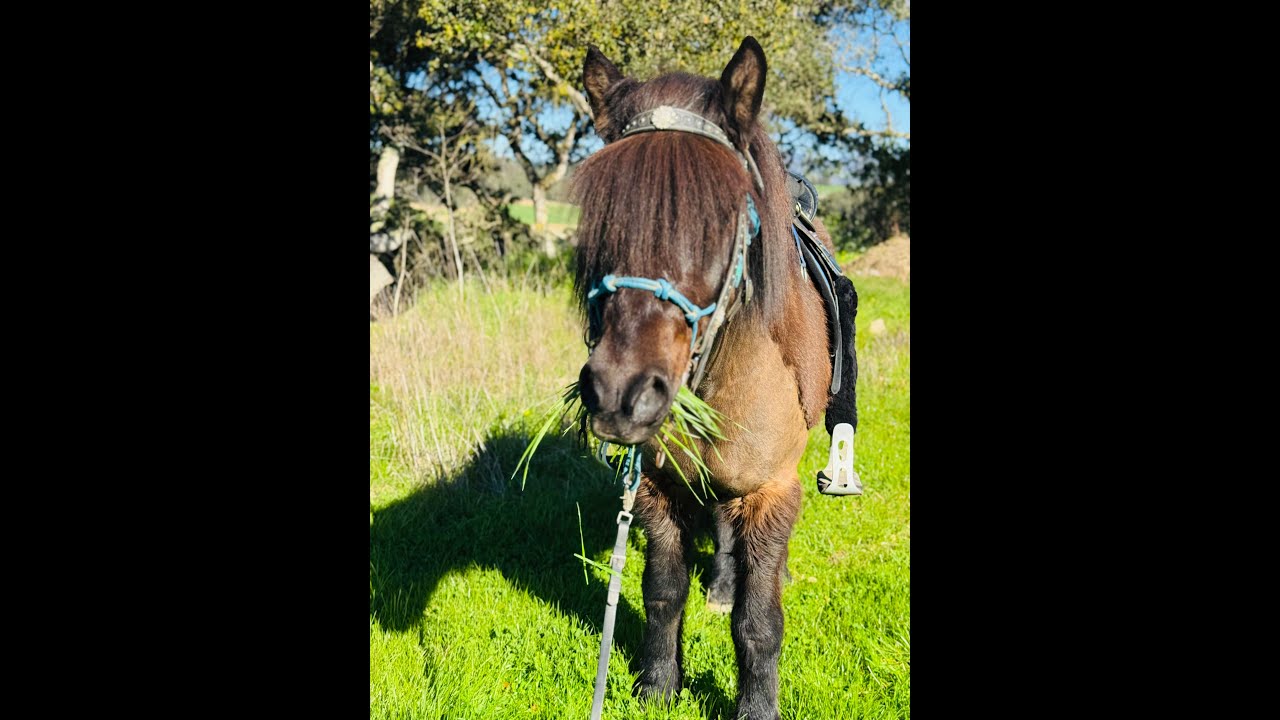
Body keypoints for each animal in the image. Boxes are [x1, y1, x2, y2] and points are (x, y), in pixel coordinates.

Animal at [572, 37, 845, 720]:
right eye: (603, 219)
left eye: (723, 220)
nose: (620, 395)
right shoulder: (655, 488)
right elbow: (663, 592)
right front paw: (658, 685)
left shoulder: (772, 491)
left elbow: (759, 621)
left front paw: (756, 706)